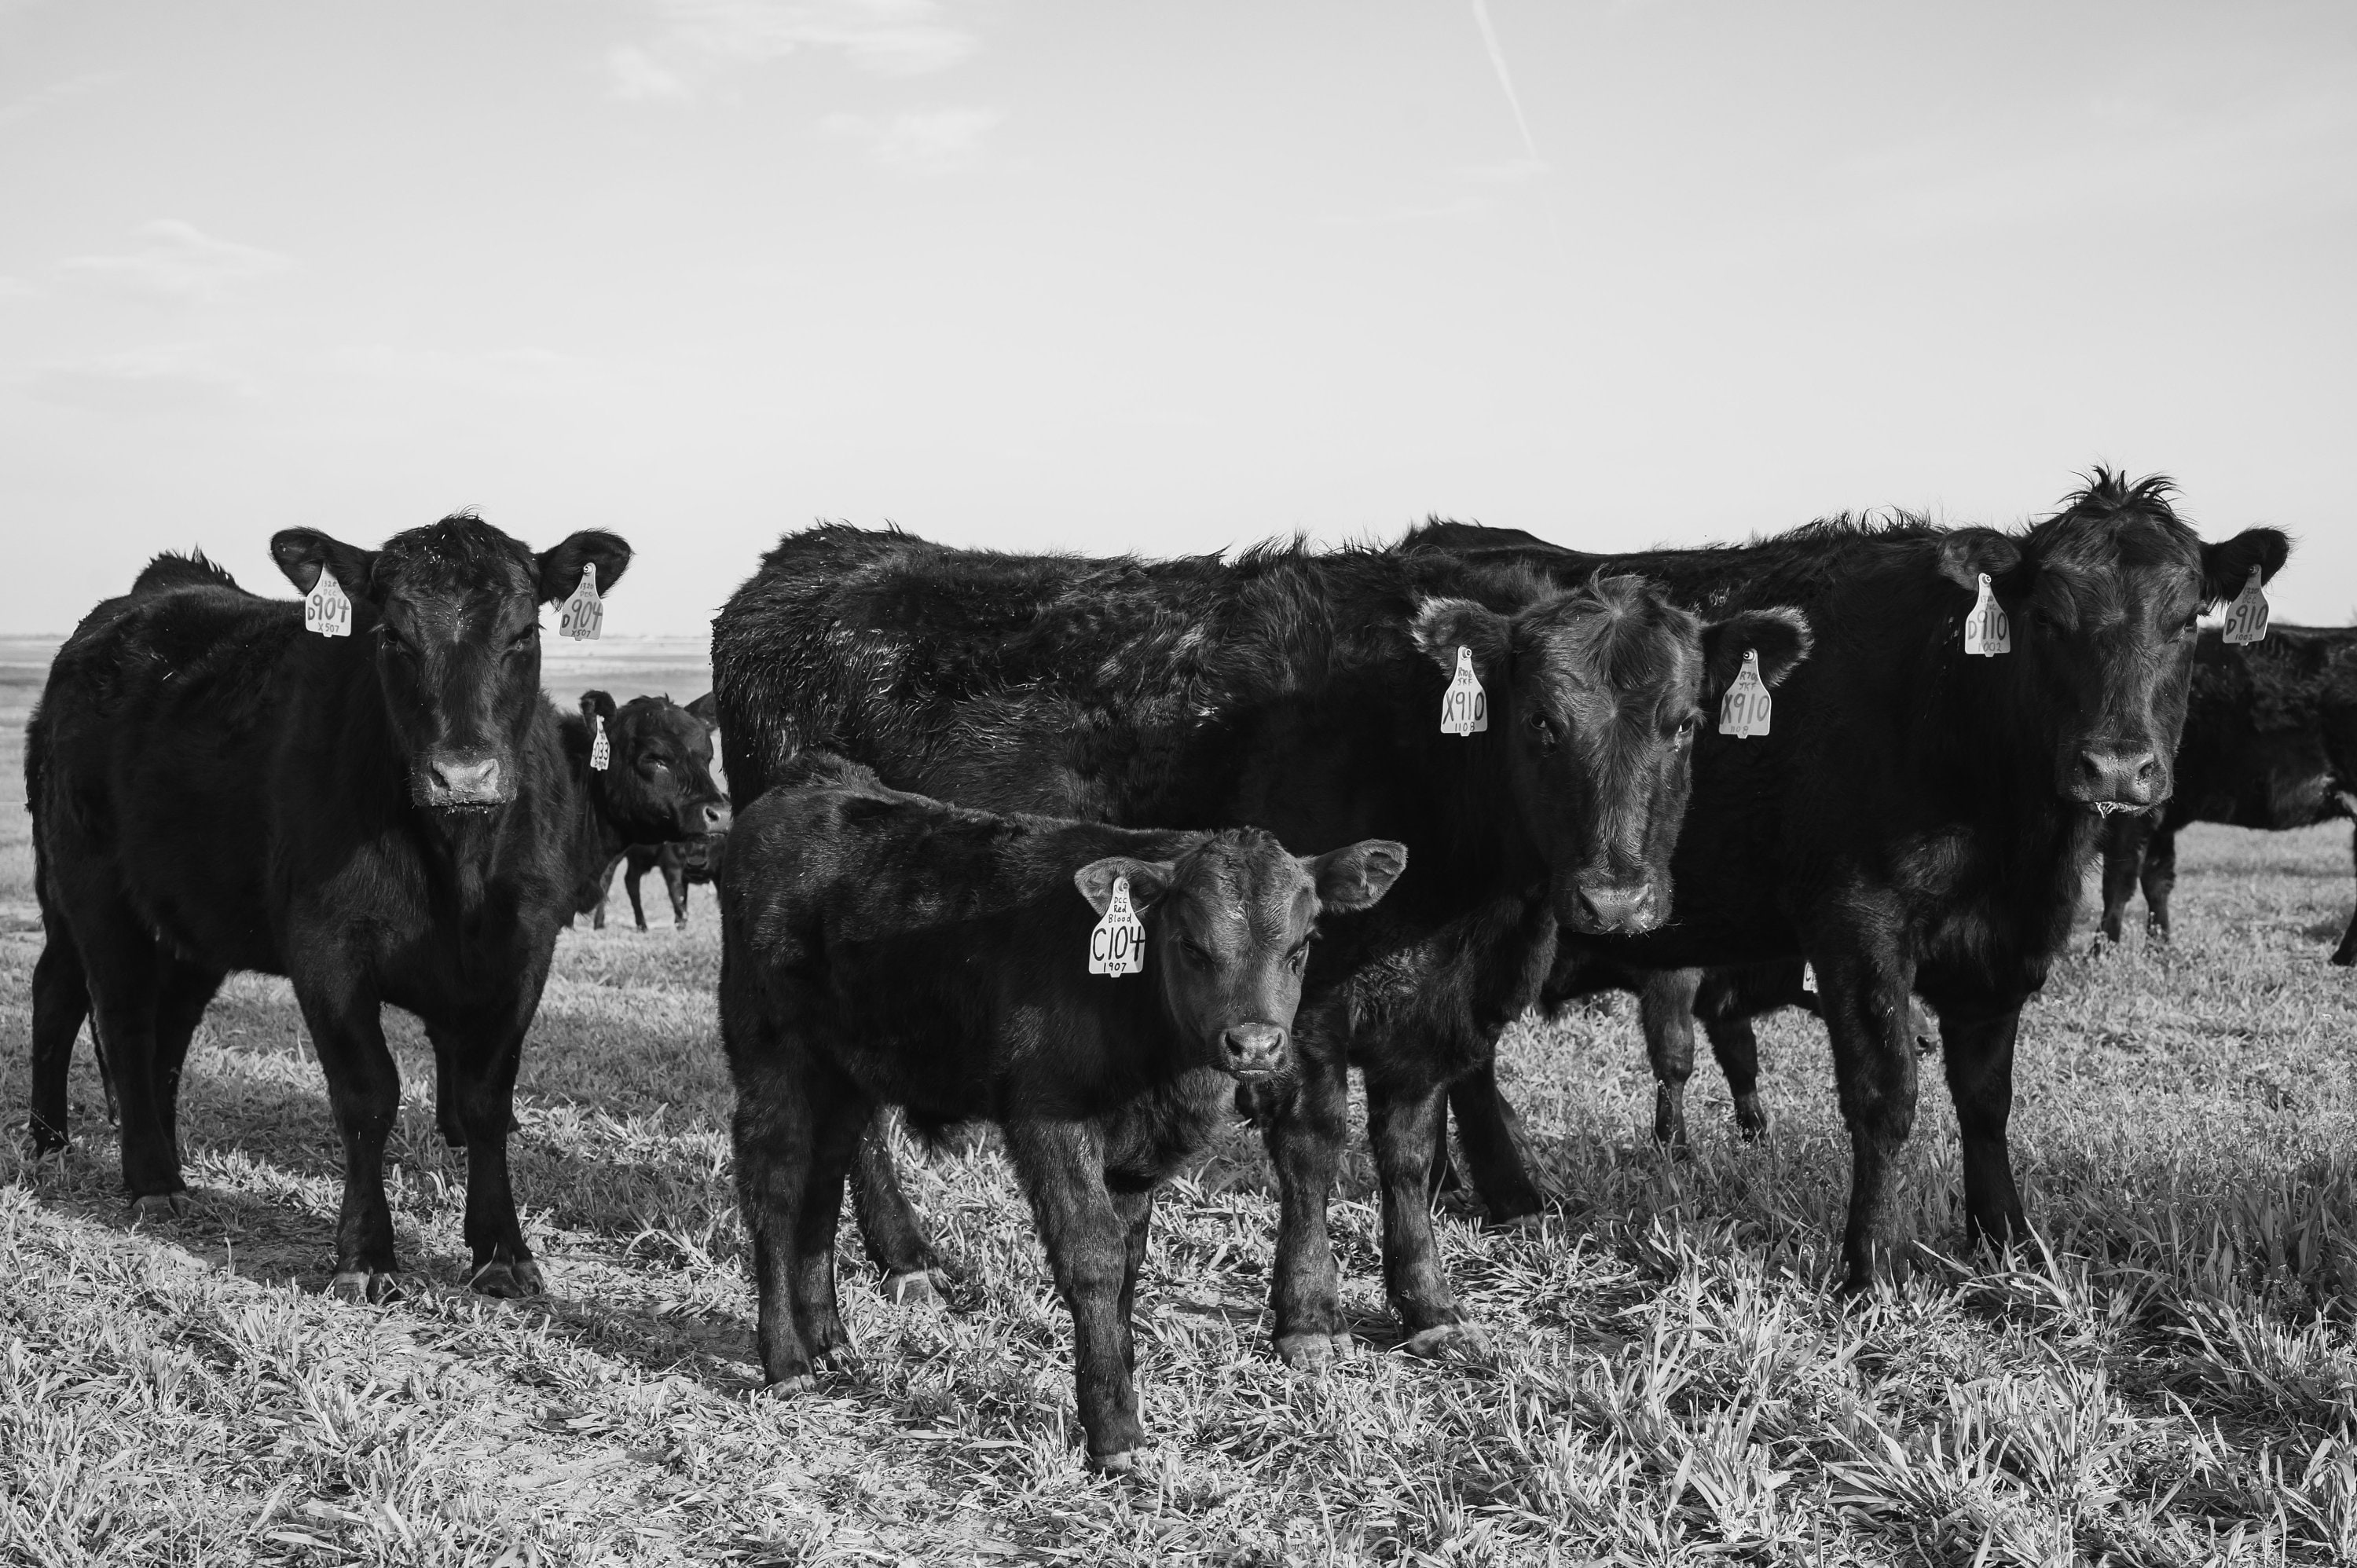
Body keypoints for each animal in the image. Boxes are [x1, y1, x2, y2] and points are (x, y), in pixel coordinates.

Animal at [20, 516, 692, 1302]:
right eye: (391, 635)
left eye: (525, 631)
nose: (462, 774)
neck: (457, 867)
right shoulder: (327, 946)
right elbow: (368, 1092)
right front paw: (366, 1254)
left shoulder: (523, 949)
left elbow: (487, 1099)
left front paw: (502, 1250)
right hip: (91, 889)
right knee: (110, 1014)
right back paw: (134, 1172)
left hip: (190, 918)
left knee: (162, 1029)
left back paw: (125, 1148)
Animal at [712, 527, 1812, 1363]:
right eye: (1541, 722)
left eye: (1683, 722)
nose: (1616, 897)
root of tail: (808, 558)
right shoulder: (1303, 1010)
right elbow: (1315, 1150)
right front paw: (1308, 1314)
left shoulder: (1423, 1017)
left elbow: (1407, 1153)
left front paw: (1428, 1304)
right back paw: (905, 1257)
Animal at [721, 749, 1405, 1470]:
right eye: (1192, 945)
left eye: (1301, 947)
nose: (1254, 1044)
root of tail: (813, 781)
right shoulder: (1049, 1120)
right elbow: (1093, 1257)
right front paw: (1113, 1429)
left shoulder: (1137, 1154)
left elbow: (1128, 1261)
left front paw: (1120, 1382)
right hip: (770, 1057)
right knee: (774, 1189)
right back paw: (787, 1361)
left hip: (844, 1075)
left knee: (822, 1184)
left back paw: (829, 1337)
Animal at [1406, 471, 2290, 1290]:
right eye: (2048, 619)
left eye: (2187, 621)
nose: (2116, 766)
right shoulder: (1856, 919)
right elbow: (1884, 1094)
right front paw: (1870, 1266)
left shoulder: (2001, 945)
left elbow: (1987, 1096)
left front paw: (2008, 1240)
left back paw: (1453, 1183)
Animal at [2095, 624, 2357, 959]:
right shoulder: (2164, 818)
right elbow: (2156, 880)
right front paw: (2160, 949)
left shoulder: (2129, 813)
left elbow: (2118, 884)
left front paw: (2100, 953)